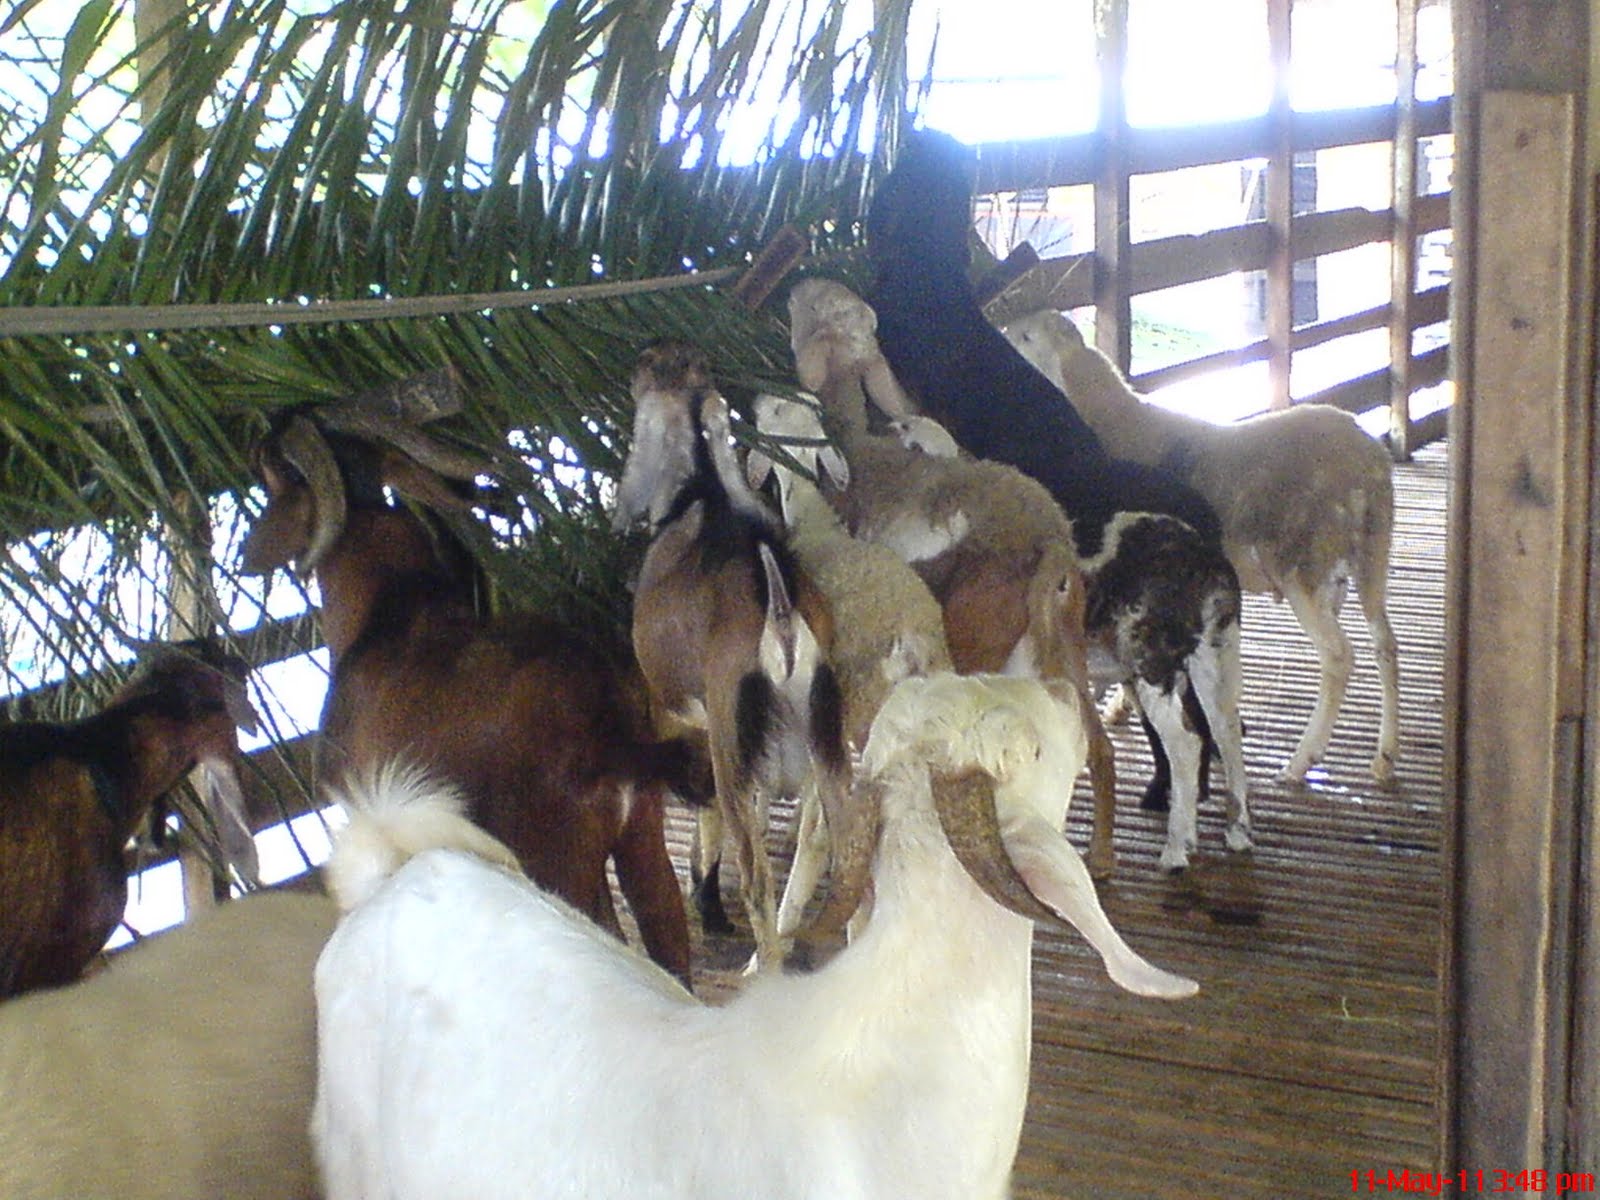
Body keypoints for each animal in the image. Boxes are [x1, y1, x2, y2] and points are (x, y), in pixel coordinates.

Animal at [238, 370, 694, 985]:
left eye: (273, 474)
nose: (249, 553)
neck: (389, 610)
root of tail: (604, 724)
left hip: (555, 854)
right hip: (639, 835)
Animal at [611, 342, 863, 970]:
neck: (703, 495)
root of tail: (781, 619)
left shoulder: (681, 713)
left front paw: (703, 895)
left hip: (738, 749)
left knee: (757, 879)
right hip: (825, 741)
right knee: (845, 850)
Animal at [788, 279, 1253, 872]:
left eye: (826, 315)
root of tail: (1207, 563)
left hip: (1146, 654)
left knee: (1186, 739)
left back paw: (1175, 846)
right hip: (1213, 648)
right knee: (1226, 724)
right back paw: (1233, 829)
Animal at [1003, 307, 1402, 783]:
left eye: (1027, 337)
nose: (999, 330)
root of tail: (1371, 461)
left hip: (1301, 563)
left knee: (1339, 656)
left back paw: (1301, 761)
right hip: (1367, 557)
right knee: (1385, 644)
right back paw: (1384, 757)